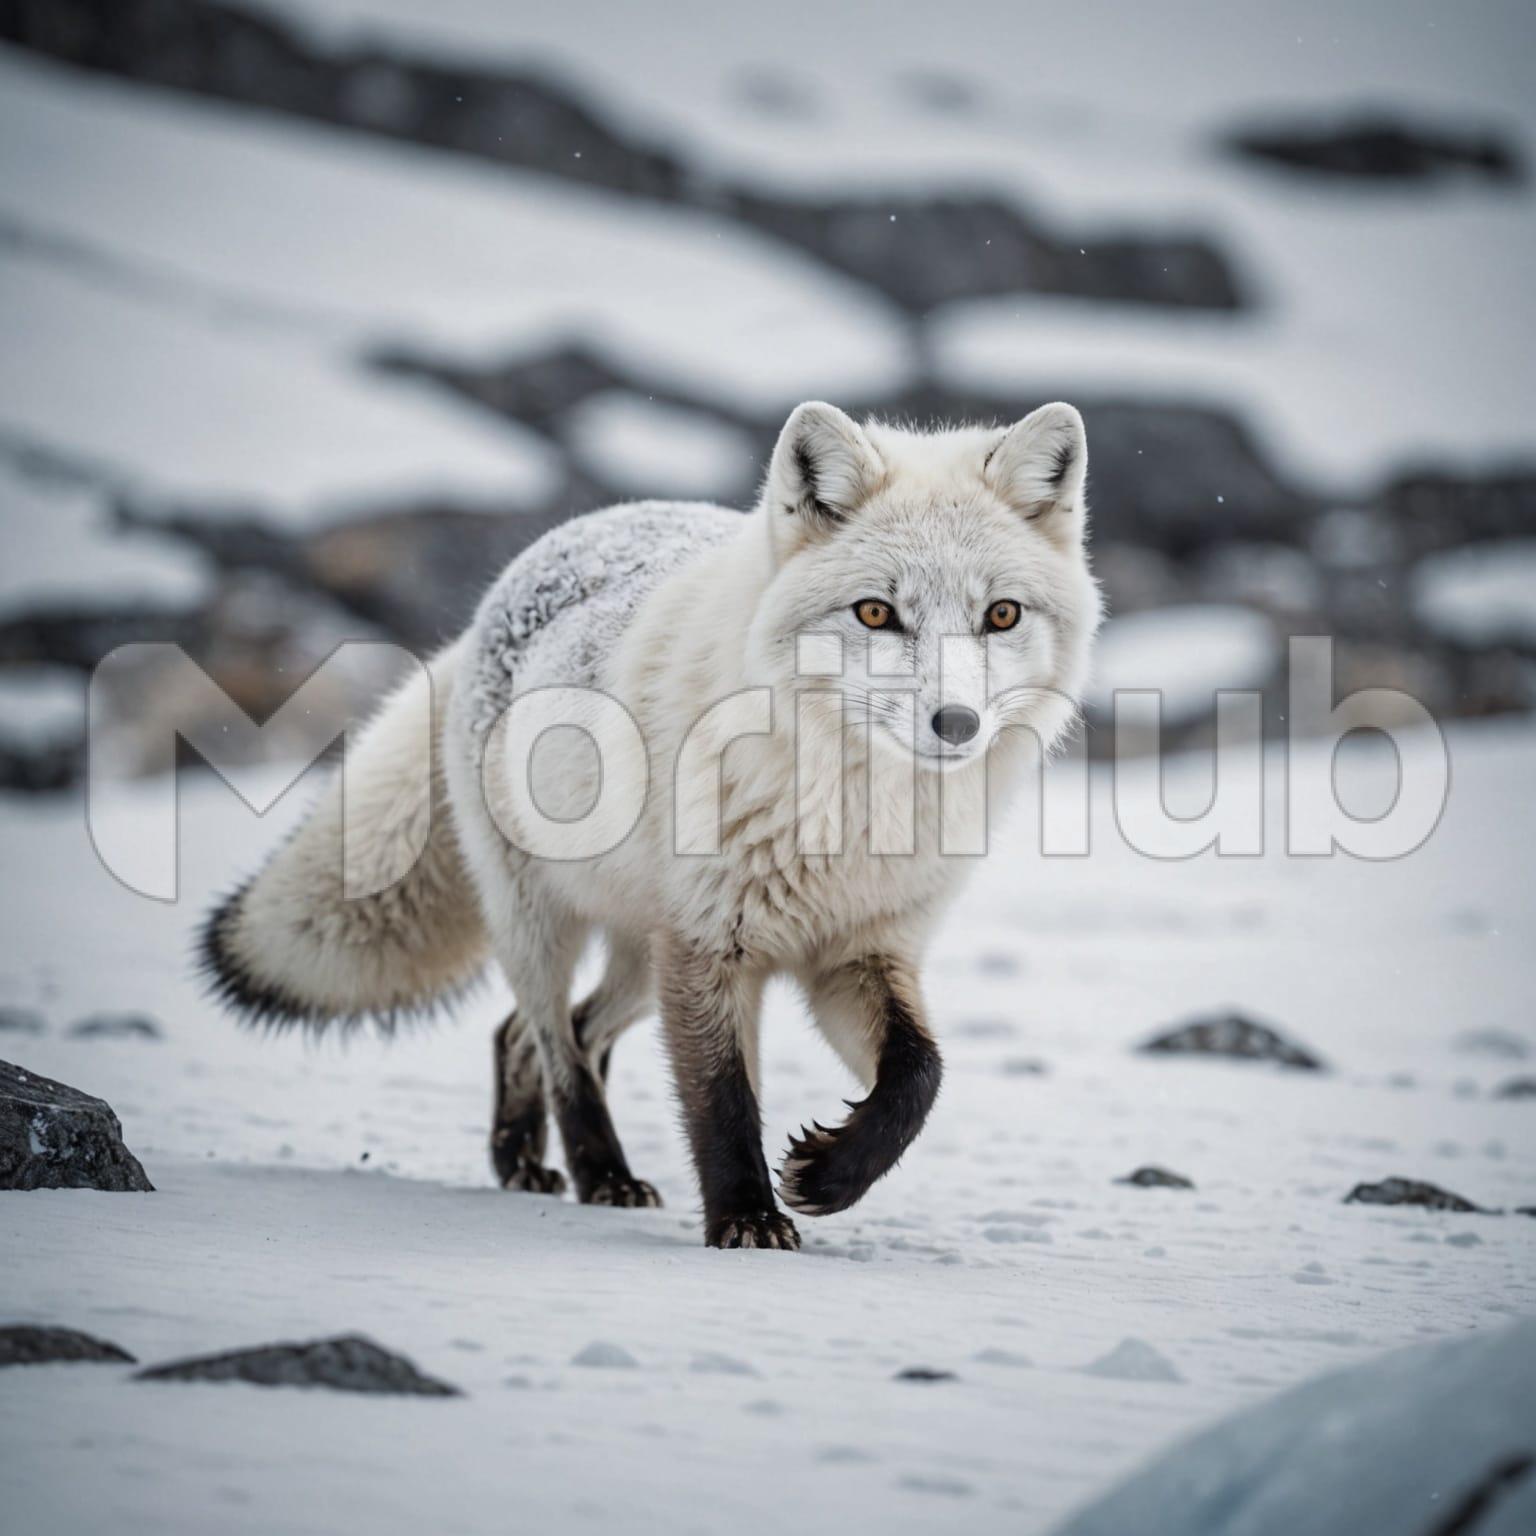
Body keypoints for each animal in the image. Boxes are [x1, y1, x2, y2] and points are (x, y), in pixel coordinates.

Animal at [200, 400, 1102, 1248]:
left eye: (1002, 616)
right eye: (877, 614)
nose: (957, 724)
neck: (846, 822)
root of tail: (517, 574)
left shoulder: (859, 949)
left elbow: (920, 1076)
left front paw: (830, 1174)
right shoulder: (710, 946)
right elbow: (722, 1099)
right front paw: (748, 1219)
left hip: (639, 955)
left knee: (540, 1033)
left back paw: (521, 1161)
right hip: (546, 923)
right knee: (555, 1045)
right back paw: (598, 1172)